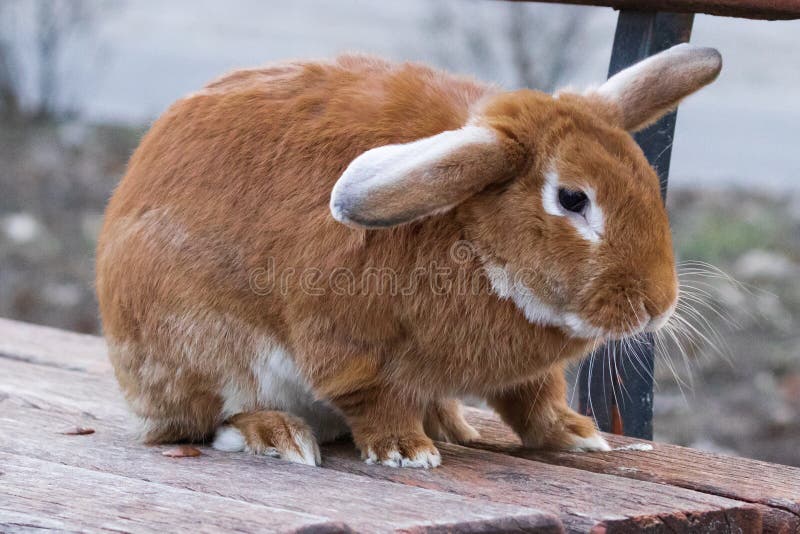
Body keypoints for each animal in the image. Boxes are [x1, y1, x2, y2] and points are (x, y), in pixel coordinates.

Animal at [96, 43, 721, 468]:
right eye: (572, 199)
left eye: (647, 179)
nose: (658, 306)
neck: (473, 236)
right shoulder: (346, 347)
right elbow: (374, 397)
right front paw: (405, 451)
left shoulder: (526, 379)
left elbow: (534, 399)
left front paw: (577, 435)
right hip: (204, 349)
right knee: (205, 420)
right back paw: (277, 435)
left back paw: (448, 420)